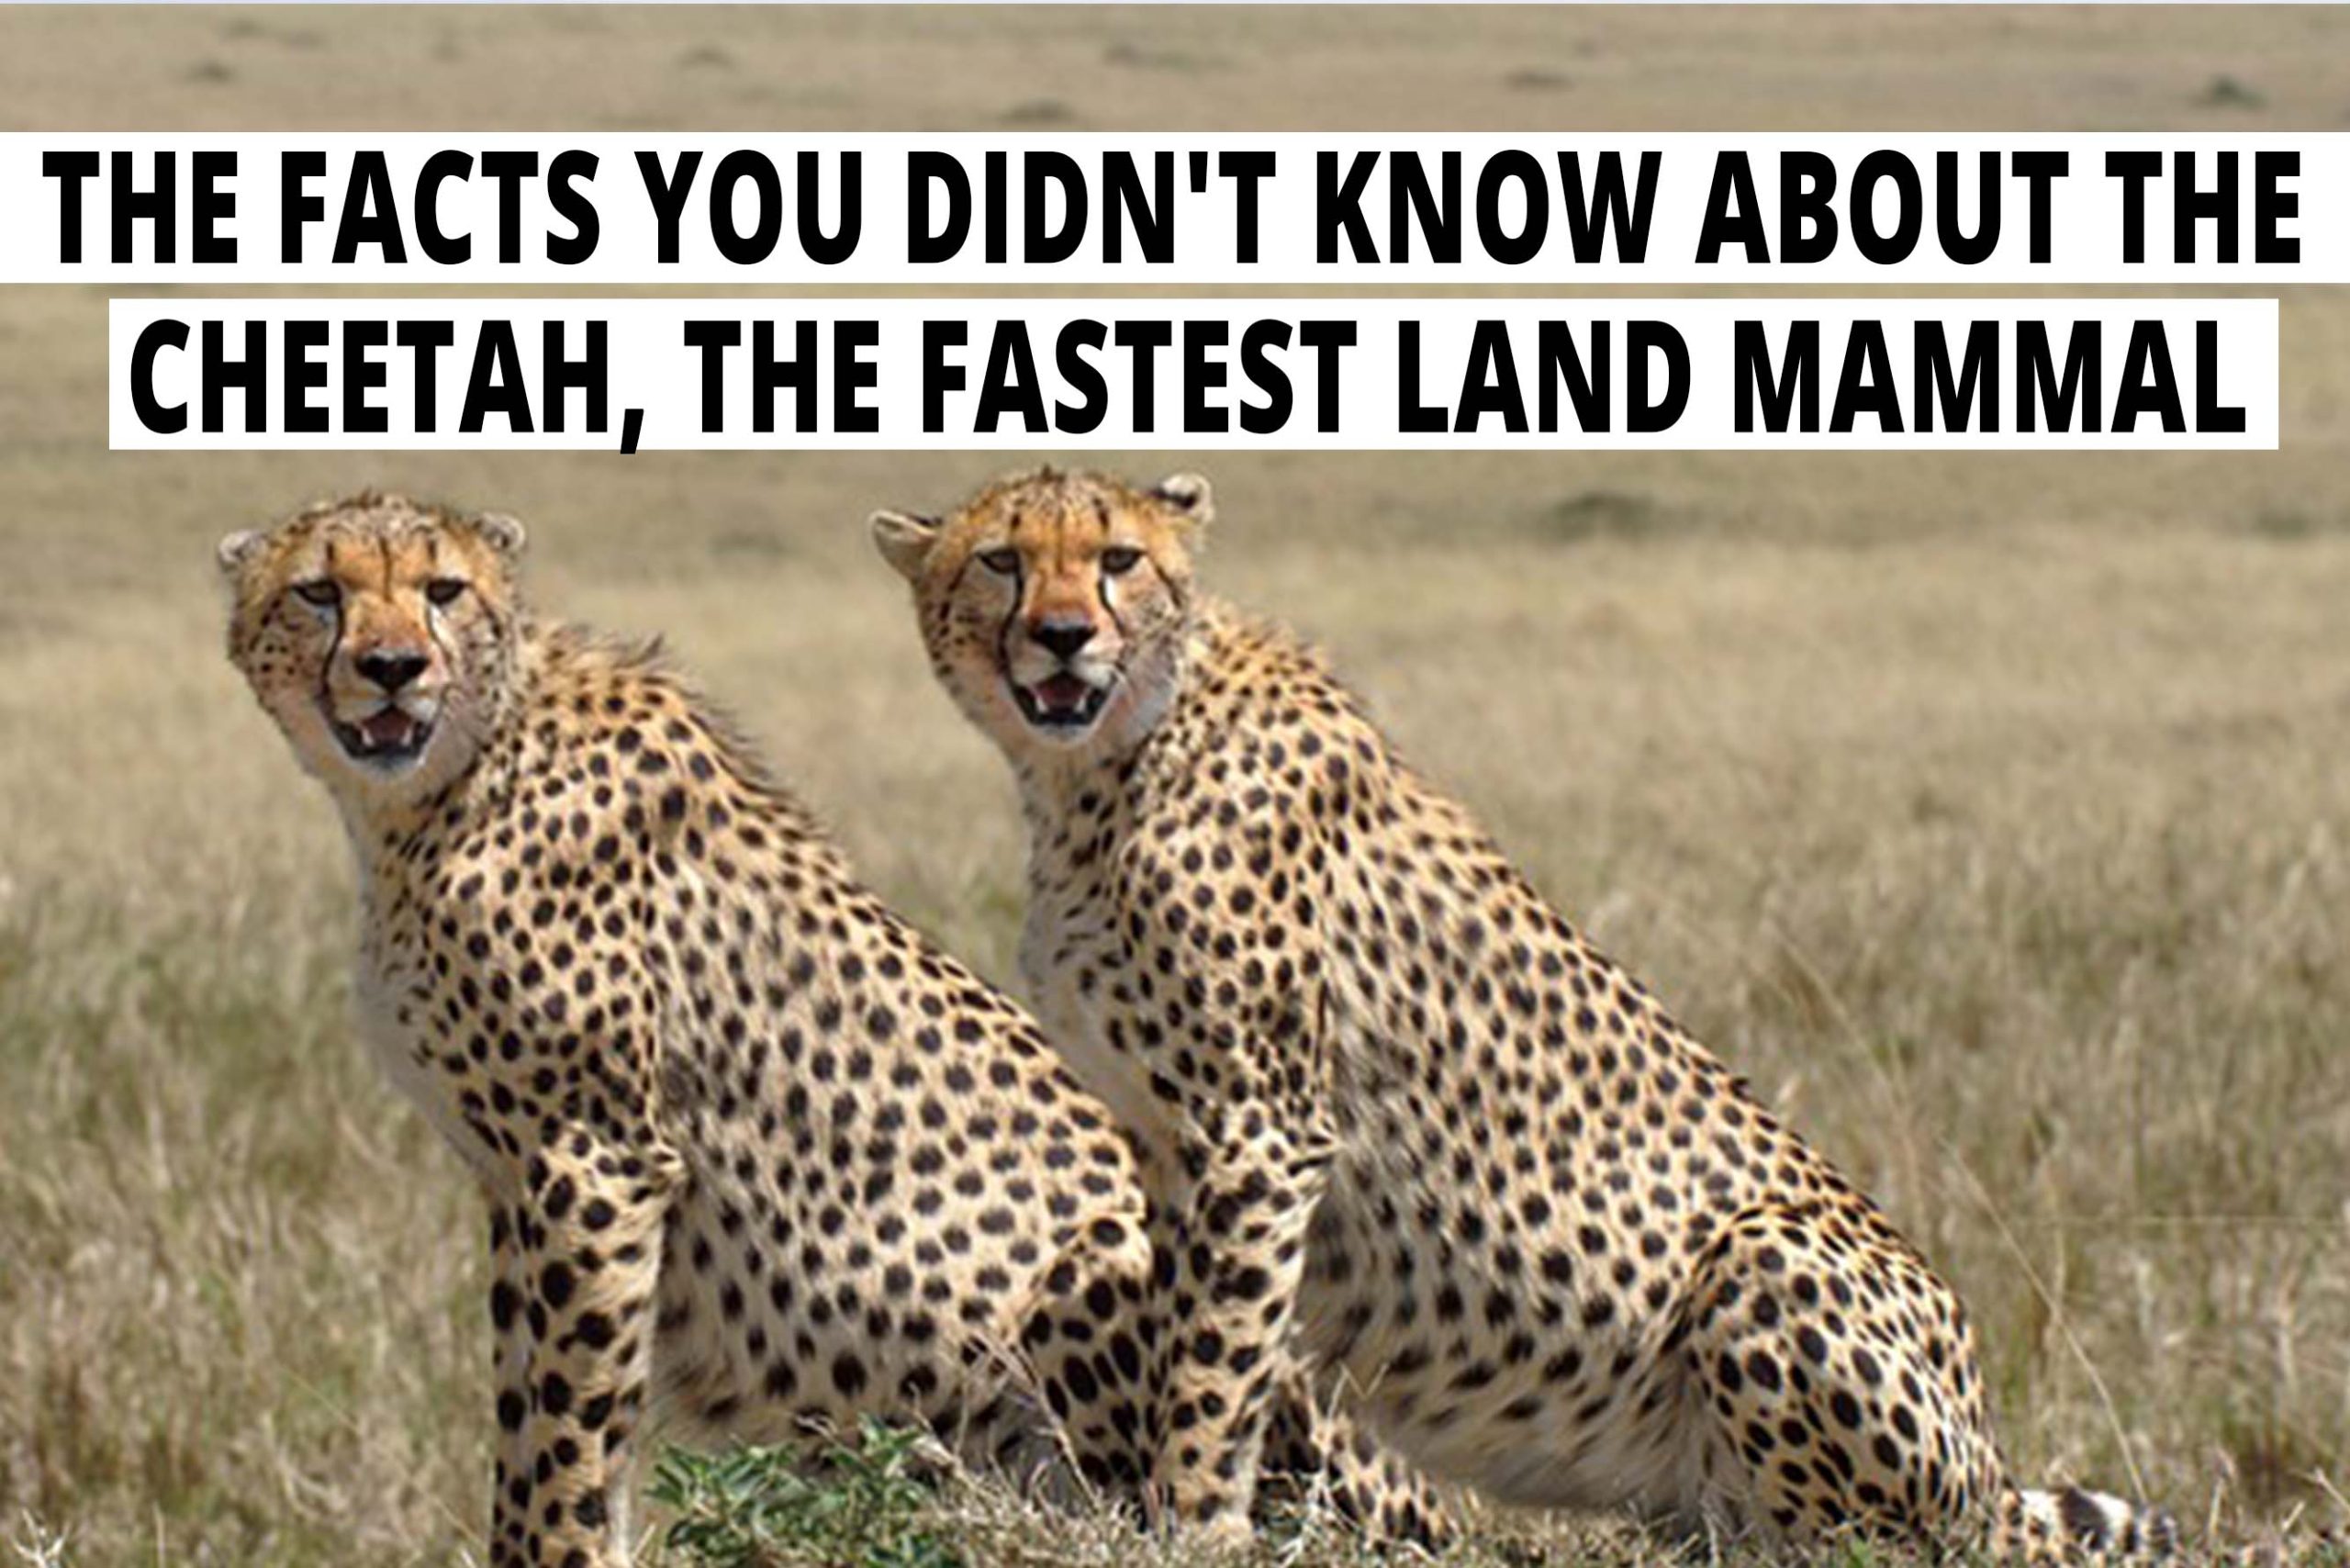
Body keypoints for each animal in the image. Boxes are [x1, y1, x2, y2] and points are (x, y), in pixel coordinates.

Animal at [218, 490, 1443, 1568]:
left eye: (442, 590)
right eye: (319, 591)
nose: (393, 666)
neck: (434, 785)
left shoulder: (592, 1159)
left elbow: (558, 1426)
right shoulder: (526, 1174)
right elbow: (556, 1410)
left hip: (1090, 1277)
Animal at [871, 464, 2176, 1561]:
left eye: (1118, 559)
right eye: (1001, 560)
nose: (1062, 634)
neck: (1093, 768)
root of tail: (1991, 1463)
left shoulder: (1259, 1131)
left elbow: (1214, 1355)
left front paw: (1191, 1519)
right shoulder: (1161, 1137)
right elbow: (1180, 1330)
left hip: (1765, 1259)